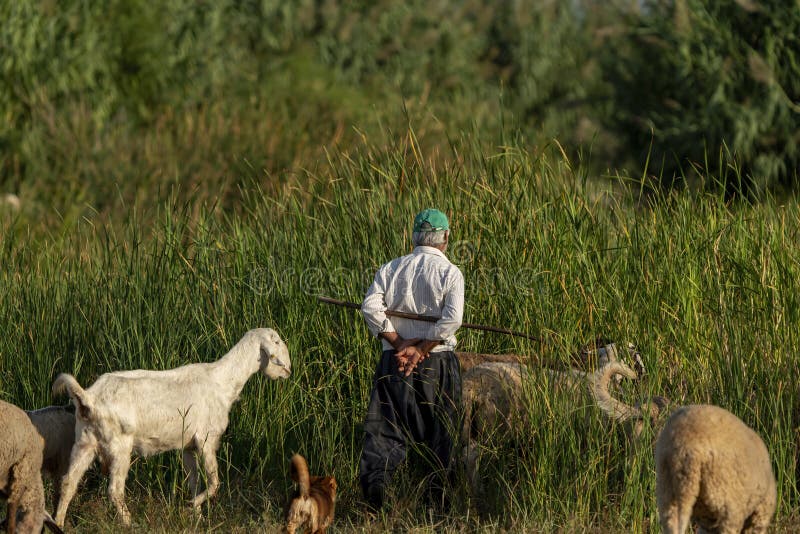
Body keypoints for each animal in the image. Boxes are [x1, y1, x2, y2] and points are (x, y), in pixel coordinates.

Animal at [51, 327, 292, 527]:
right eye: (277, 341)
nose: (288, 370)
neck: (223, 382)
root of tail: (88, 398)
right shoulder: (206, 439)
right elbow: (214, 482)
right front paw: (193, 506)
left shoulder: (188, 446)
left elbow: (194, 482)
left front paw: (197, 516)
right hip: (119, 446)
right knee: (114, 491)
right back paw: (130, 524)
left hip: (85, 442)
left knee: (68, 483)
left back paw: (59, 522)